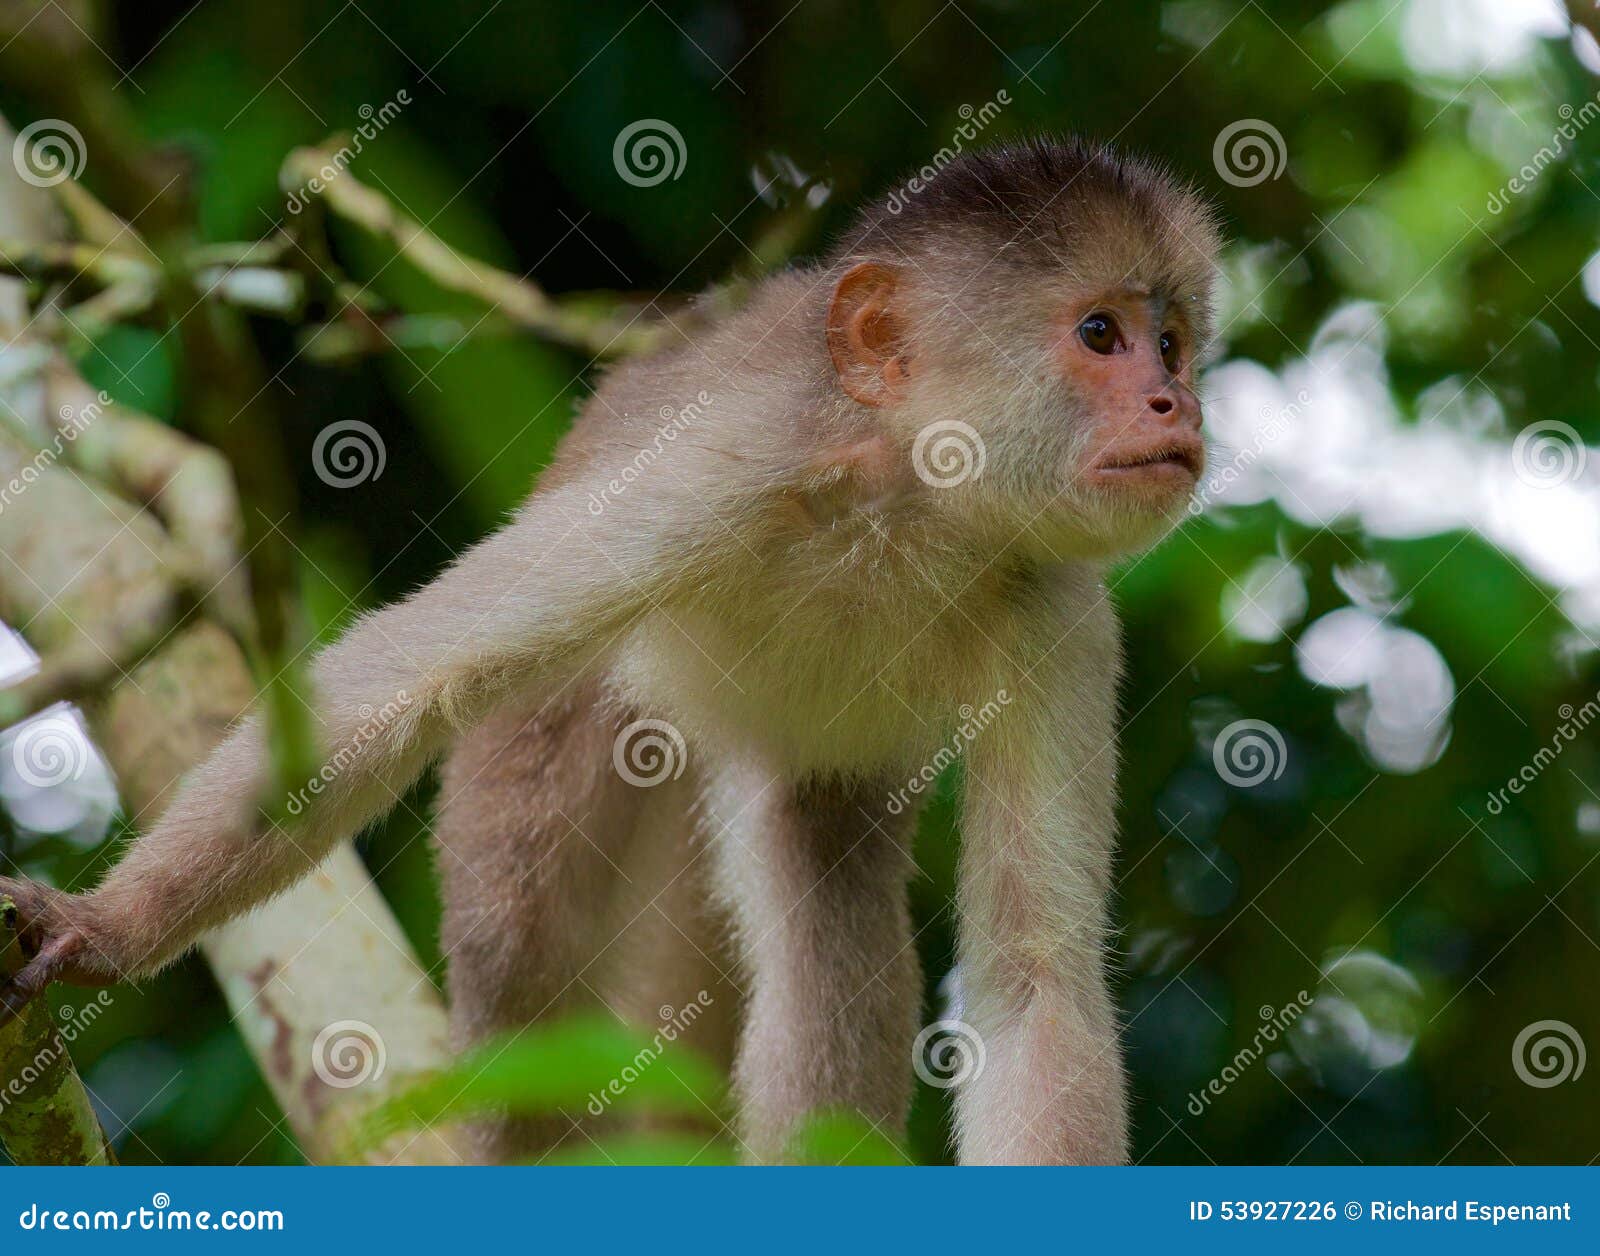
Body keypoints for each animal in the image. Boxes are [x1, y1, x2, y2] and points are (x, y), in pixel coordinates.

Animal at [0, 138, 1220, 1165]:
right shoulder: (725, 465)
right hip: (574, 729)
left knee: (825, 888)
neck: (913, 502)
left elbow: (1036, 983)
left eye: (1169, 344)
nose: (1177, 402)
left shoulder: (1061, 616)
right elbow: (389, 685)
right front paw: (104, 929)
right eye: (1101, 335)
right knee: (523, 933)